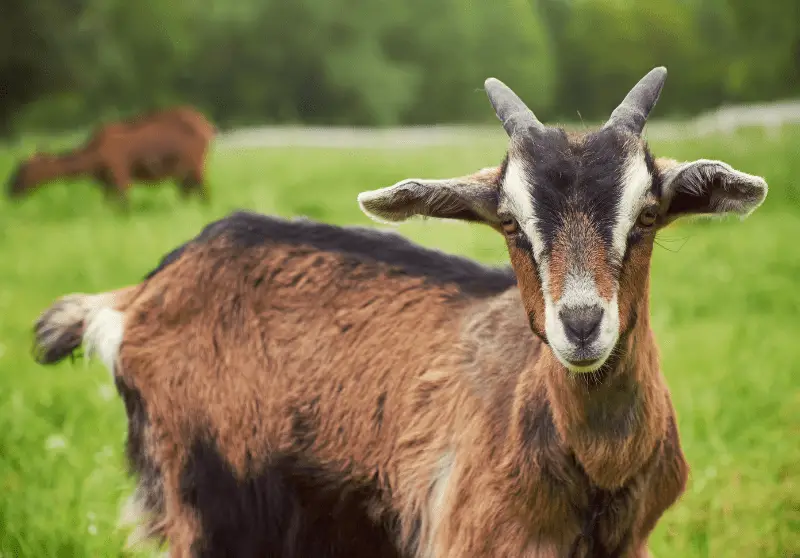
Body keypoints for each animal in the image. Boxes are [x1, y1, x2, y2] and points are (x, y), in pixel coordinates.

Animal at [7, 106, 215, 207]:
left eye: (22, 169)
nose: (9, 189)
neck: (92, 159)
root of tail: (208, 126)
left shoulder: (120, 175)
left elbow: (125, 205)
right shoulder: (105, 183)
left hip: (197, 164)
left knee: (204, 192)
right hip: (184, 170)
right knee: (188, 191)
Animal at [31, 67, 768, 557]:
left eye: (647, 215)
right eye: (509, 222)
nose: (582, 325)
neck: (595, 469)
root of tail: (137, 297)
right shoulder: (471, 537)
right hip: (210, 505)